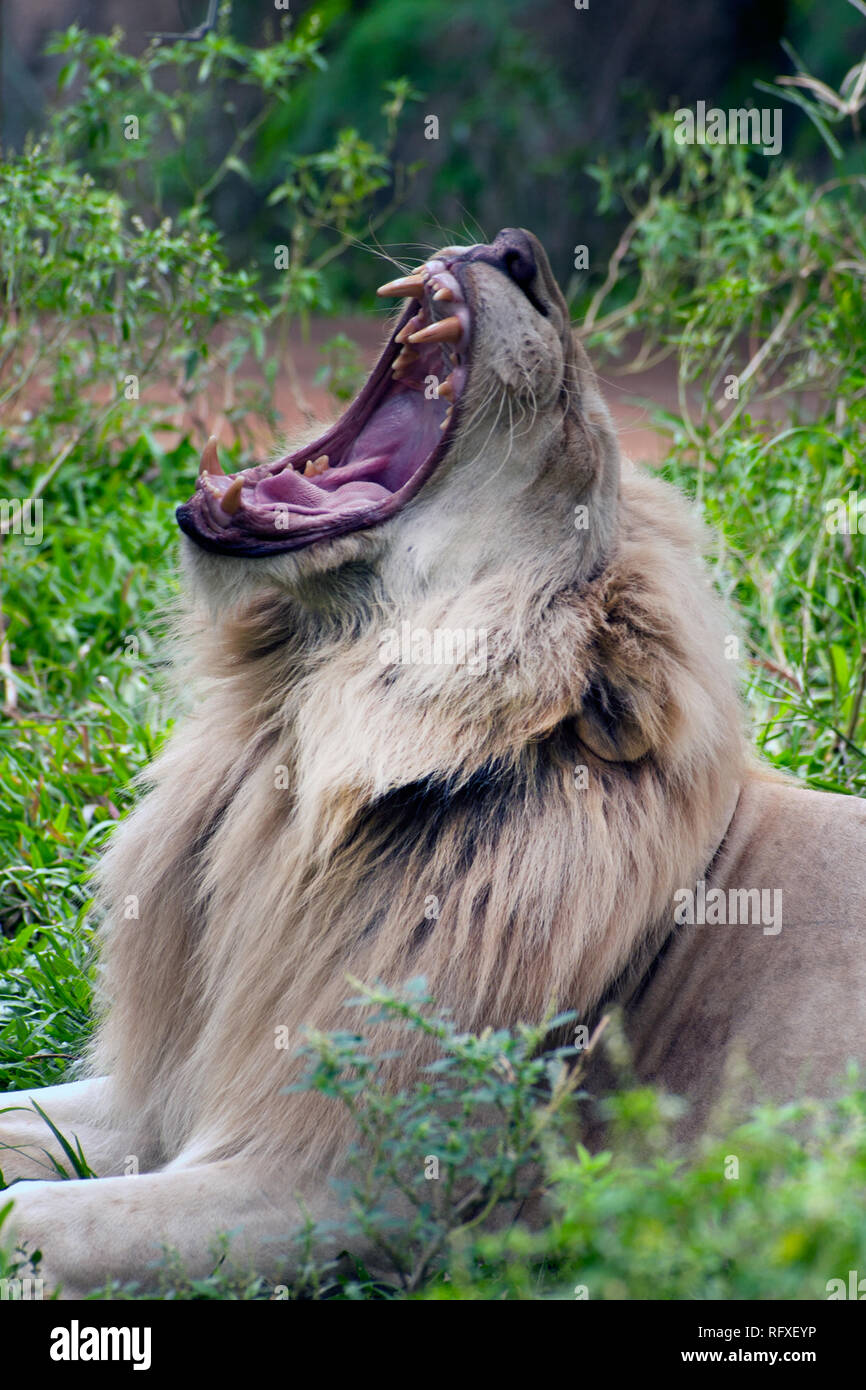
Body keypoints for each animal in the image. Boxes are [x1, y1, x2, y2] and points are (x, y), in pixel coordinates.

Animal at [2, 228, 865, 1297]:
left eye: (574, 423)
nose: (520, 250)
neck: (290, 741)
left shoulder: (356, 1190)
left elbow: (38, 1215)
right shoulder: (153, 1096)